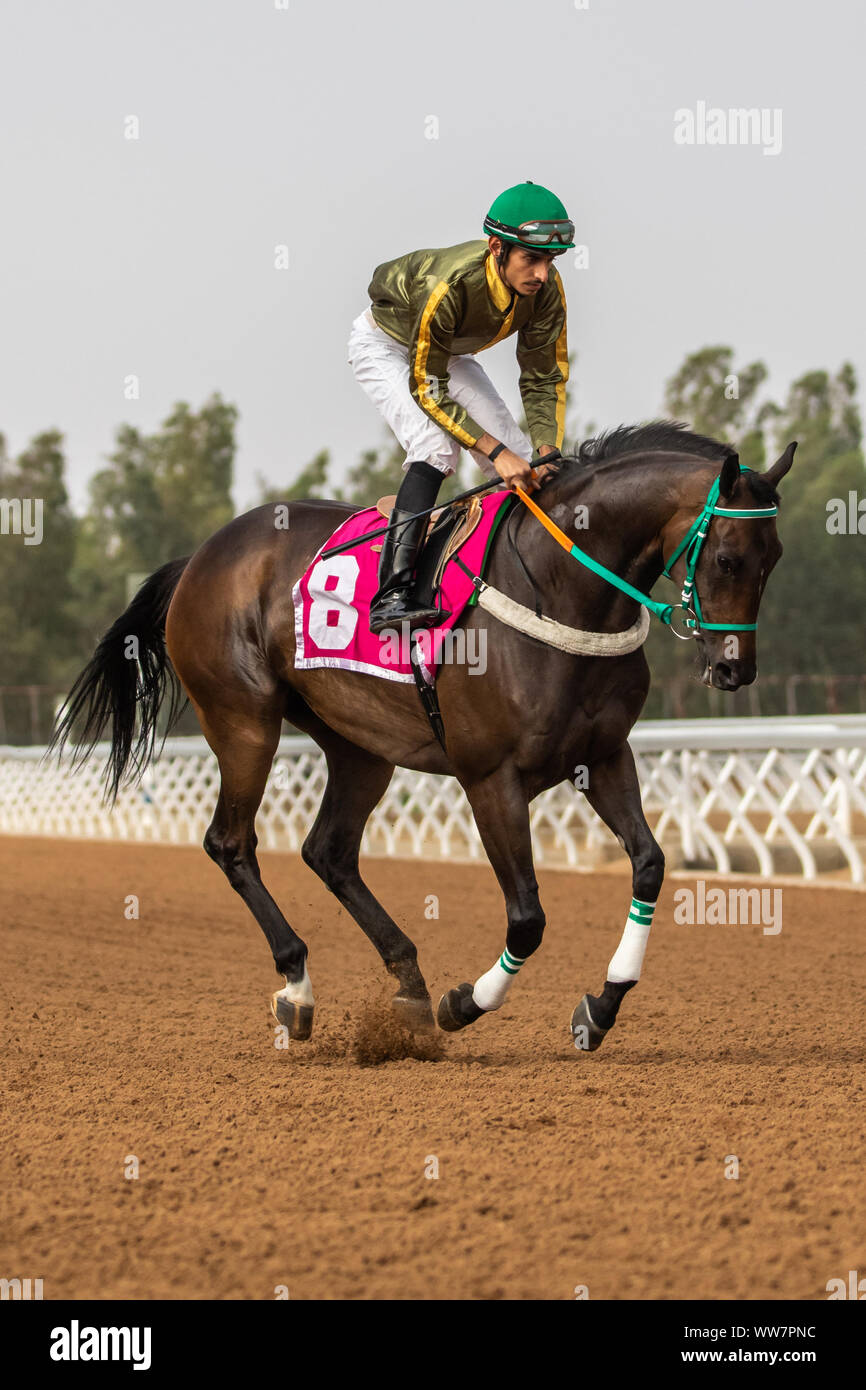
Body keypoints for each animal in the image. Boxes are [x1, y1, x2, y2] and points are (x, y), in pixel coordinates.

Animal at [51, 422, 795, 1051]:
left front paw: (600, 1007)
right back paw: (299, 984)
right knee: (230, 844)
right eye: (729, 559)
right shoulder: (490, 775)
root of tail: (199, 557)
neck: (561, 587)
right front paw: (465, 1002)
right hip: (243, 720)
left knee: (329, 851)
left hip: (358, 744)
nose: (735, 669)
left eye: (775, 557)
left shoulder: (603, 755)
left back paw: (406, 981)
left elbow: (649, 865)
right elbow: (527, 915)